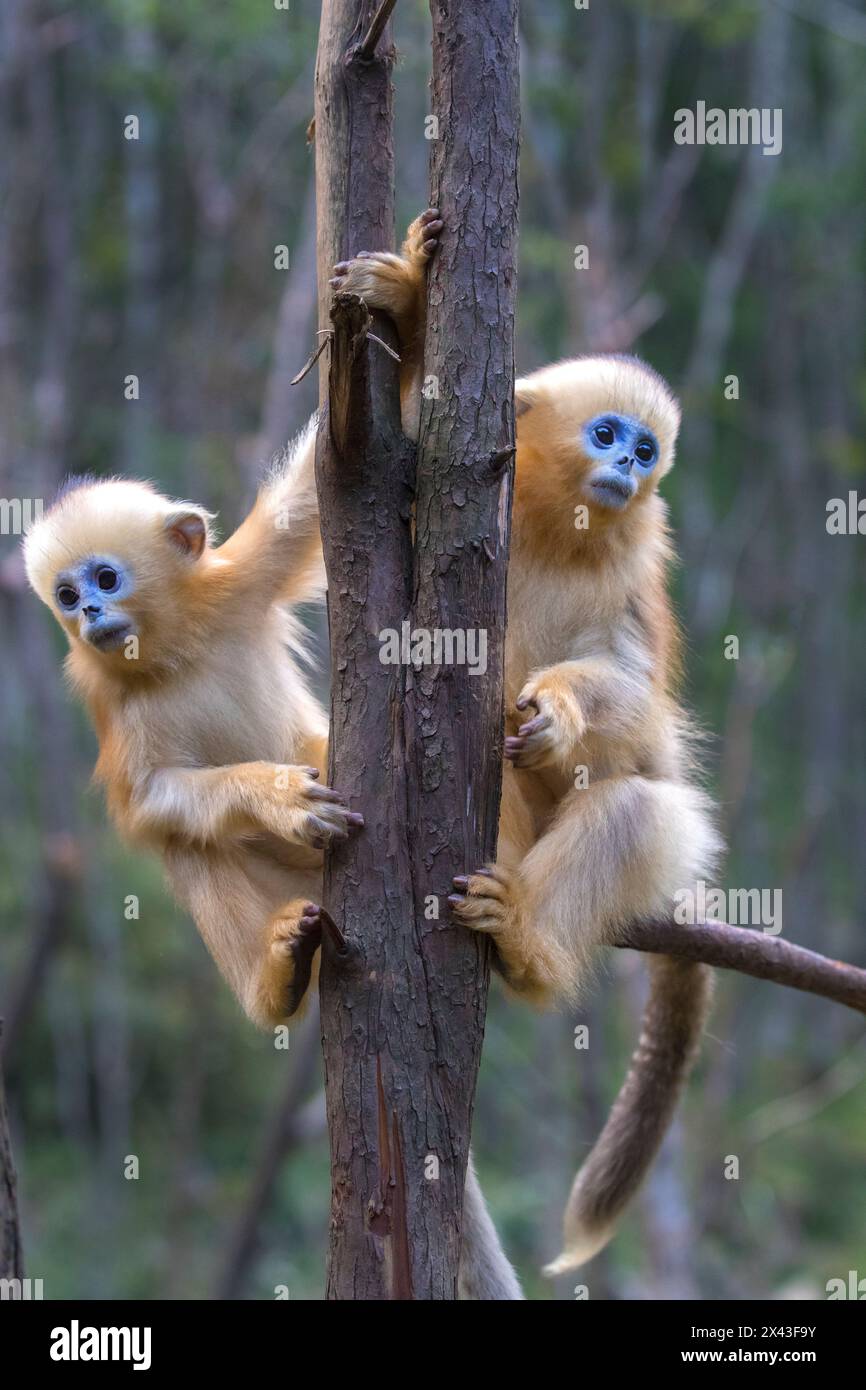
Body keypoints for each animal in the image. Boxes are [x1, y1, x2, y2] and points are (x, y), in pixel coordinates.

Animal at [332, 229, 724, 1277]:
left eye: (646, 448)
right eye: (607, 434)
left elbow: (629, 695)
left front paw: (559, 712)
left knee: (636, 803)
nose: (628, 467)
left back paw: (525, 942)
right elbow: (400, 457)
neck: (558, 529)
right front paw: (410, 300)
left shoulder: (632, 577)